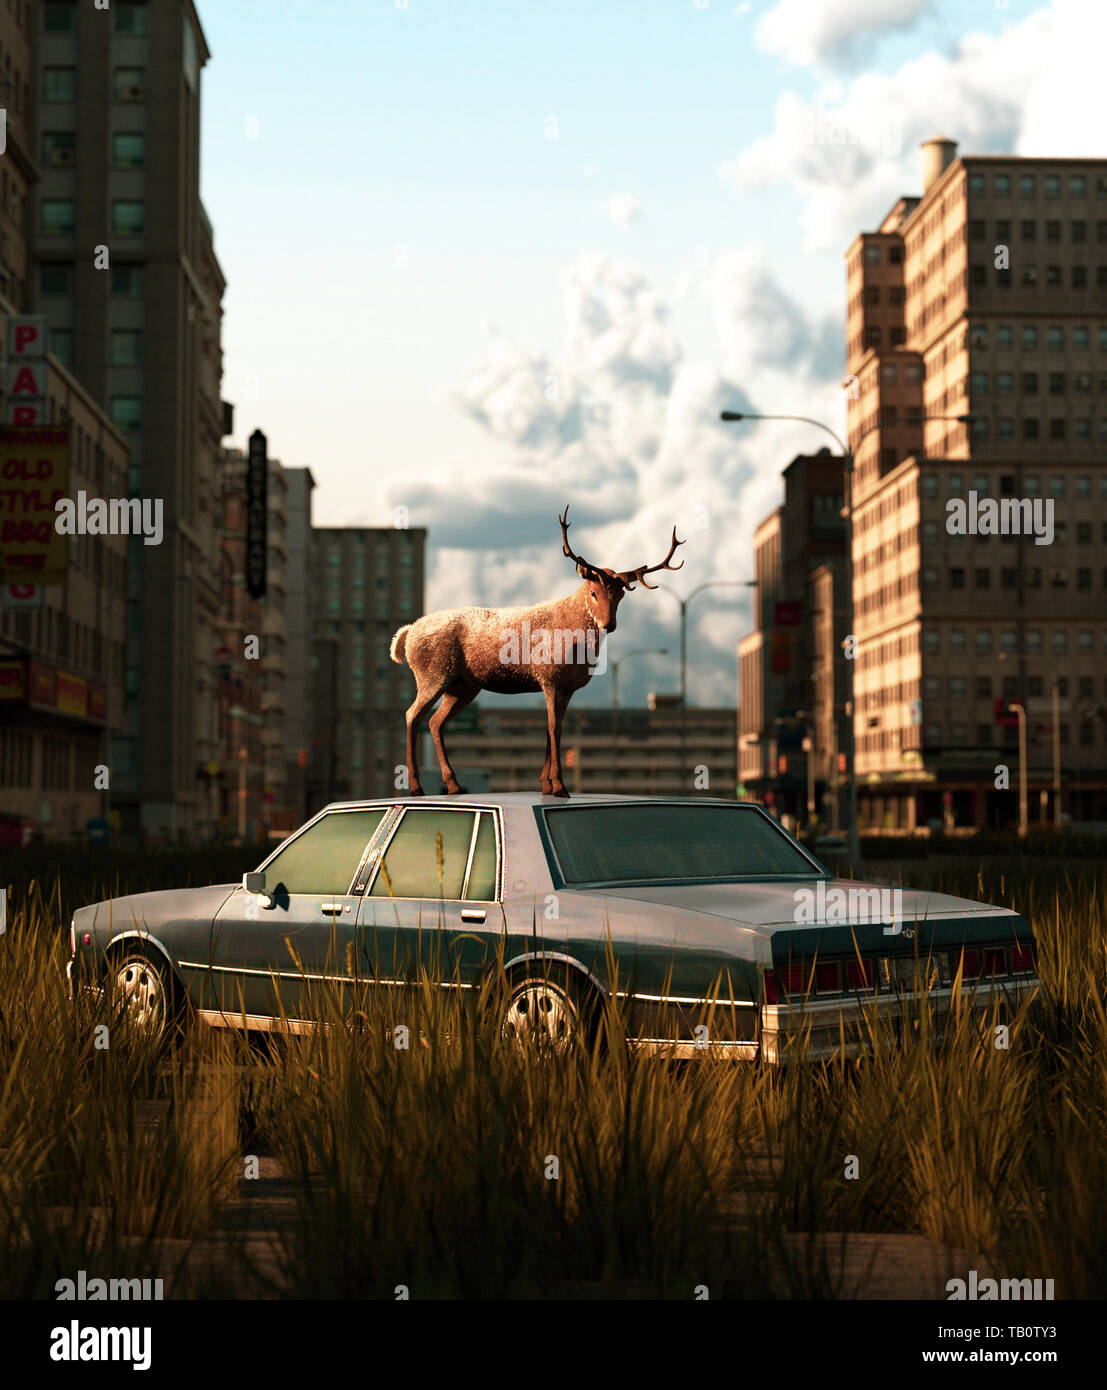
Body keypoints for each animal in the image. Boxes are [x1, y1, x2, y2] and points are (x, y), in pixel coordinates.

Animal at [390, 506, 685, 798]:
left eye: (621, 595)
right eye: (593, 592)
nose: (608, 625)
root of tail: (405, 635)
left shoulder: (568, 686)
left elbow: (552, 728)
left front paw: (546, 784)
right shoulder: (548, 675)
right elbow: (554, 728)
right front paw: (560, 786)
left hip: (462, 685)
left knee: (435, 722)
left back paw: (453, 784)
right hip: (433, 673)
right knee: (412, 715)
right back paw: (416, 787)